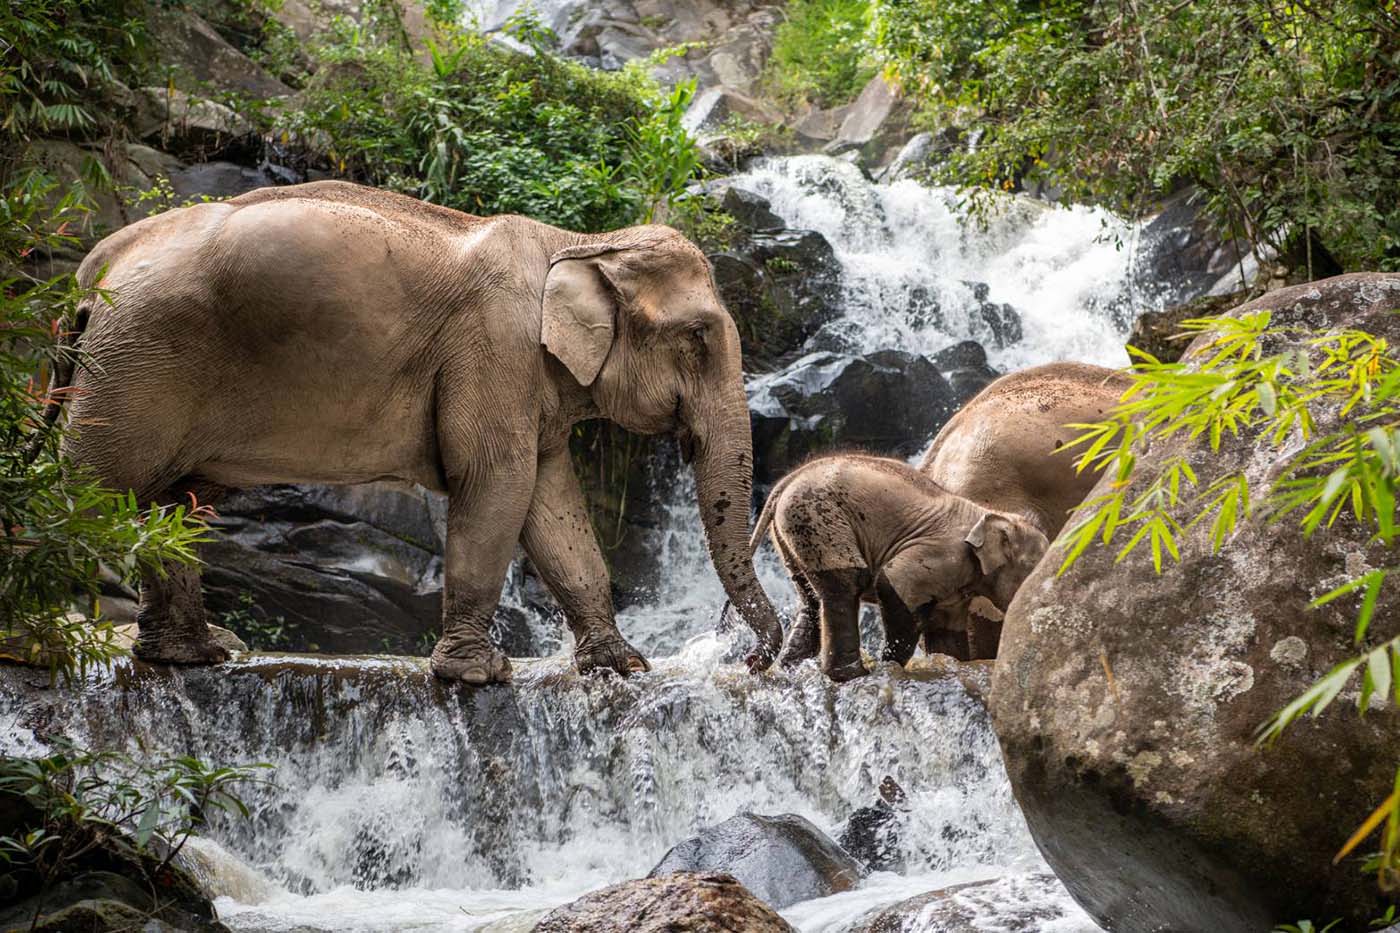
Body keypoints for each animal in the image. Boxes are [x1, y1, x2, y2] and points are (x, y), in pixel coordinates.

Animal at [53, 180, 784, 683]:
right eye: (698, 338)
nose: (753, 660)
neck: (575, 241)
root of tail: (92, 268)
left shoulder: (532, 383)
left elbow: (553, 506)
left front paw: (622, 667)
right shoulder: (495, 348)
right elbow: (497, 483)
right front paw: (479, 674)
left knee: (175, 502)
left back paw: (196, 654)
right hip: (135, 364)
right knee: (91, 486)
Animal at [748, 454, 1049, 680]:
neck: (990, 514)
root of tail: (783, 485)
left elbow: (946, 630)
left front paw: (947, 665)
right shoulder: (940, 555)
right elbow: (892, 583)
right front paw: (889, 666)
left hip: (793, 536)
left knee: (809, 598)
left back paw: (788, 670)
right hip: (818, 521)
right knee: (845, 586)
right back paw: (852, 675)